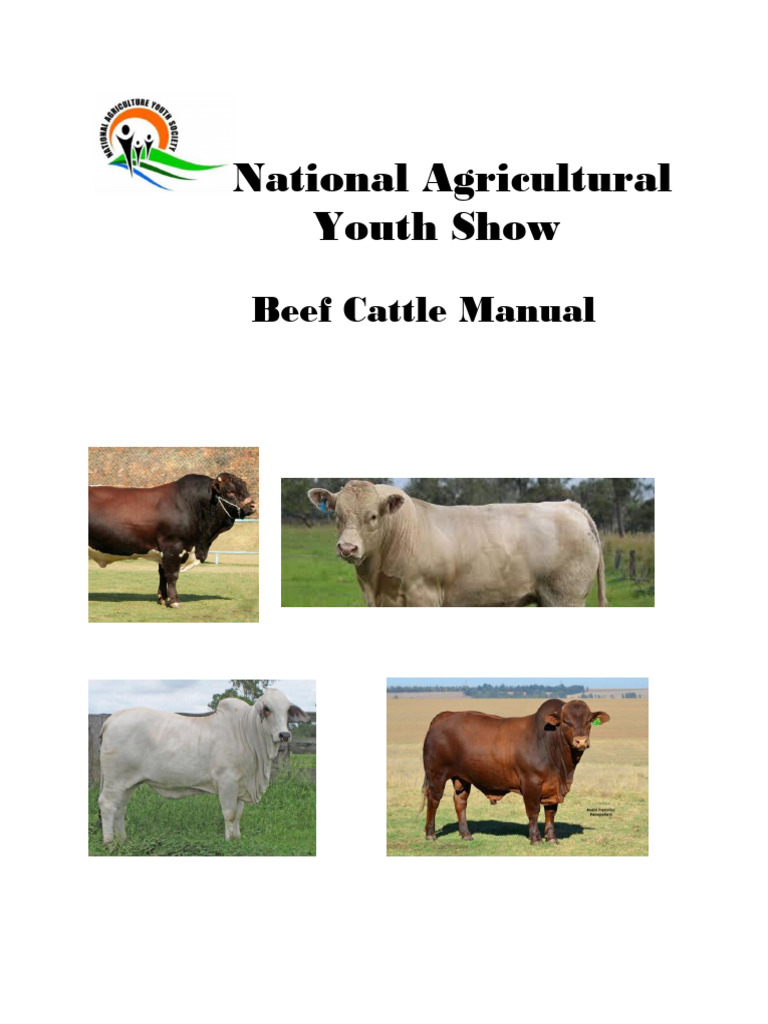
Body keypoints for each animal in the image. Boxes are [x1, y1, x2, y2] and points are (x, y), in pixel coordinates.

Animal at [89, 472, 256, 608]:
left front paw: (163, 598)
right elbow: (172, 575)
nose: (253, 505)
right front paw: (175, 601)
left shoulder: (165, 552)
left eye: (244, 486)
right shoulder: (173, 547)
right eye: (229, 490)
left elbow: (163, 574)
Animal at [98, 689, 310, 842]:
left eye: (287, 710)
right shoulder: (227, 783)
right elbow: (230, 814)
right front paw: (229, 841)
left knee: (120, 808)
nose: (284, 735)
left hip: (128, 783)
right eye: (267, 709)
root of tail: (111, 719)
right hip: (114, 780)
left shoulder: (241, 785)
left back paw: (123, 840)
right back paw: (109, 842)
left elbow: (239, 815)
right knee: (107, 805)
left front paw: (237, 838)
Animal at [308, 480, 606, 606]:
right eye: (337, 515)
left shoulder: (424, 598)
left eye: (372, 516)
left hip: (566, 597)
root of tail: (570, 505)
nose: (348, 548)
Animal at [421, 699, 610, 845]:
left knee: (460, 802)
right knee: (434, 800)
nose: (581, 741)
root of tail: (444, 716)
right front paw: (535, 838)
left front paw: (552, 838)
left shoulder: (552, 786)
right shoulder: (531, 782)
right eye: (566, 721)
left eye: (589, 721)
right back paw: (430, 834)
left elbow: (550, 812)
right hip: (436, 775)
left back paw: (466, 834)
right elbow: (533, 810)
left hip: (462, 778)